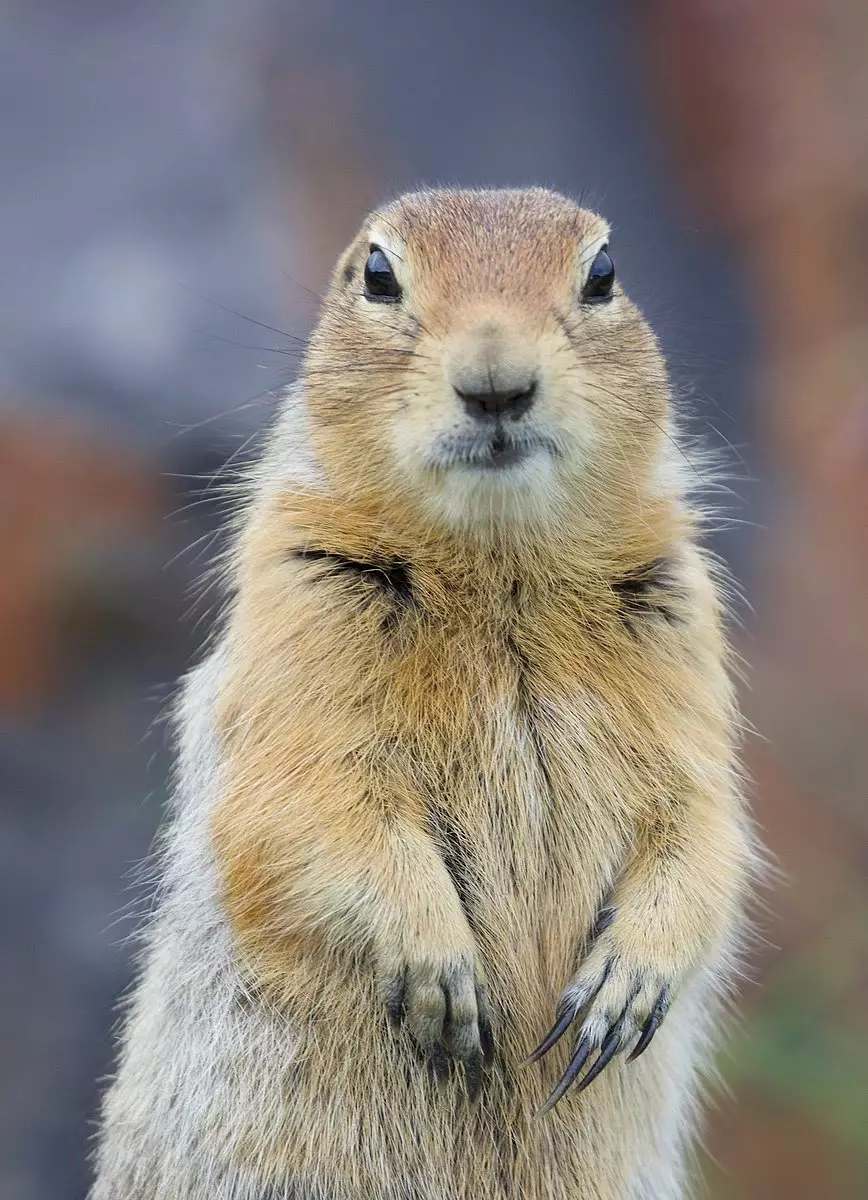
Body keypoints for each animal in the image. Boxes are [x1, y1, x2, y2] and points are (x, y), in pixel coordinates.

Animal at [90, 187, 758, 1200]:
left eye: (604, 274)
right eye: (378, 274)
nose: (496, 383)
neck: (499, 569)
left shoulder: (684, 641)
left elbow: (706, 826)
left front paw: (625, 989)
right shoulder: (300, 614)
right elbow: (308, 805)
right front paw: (444, 975)